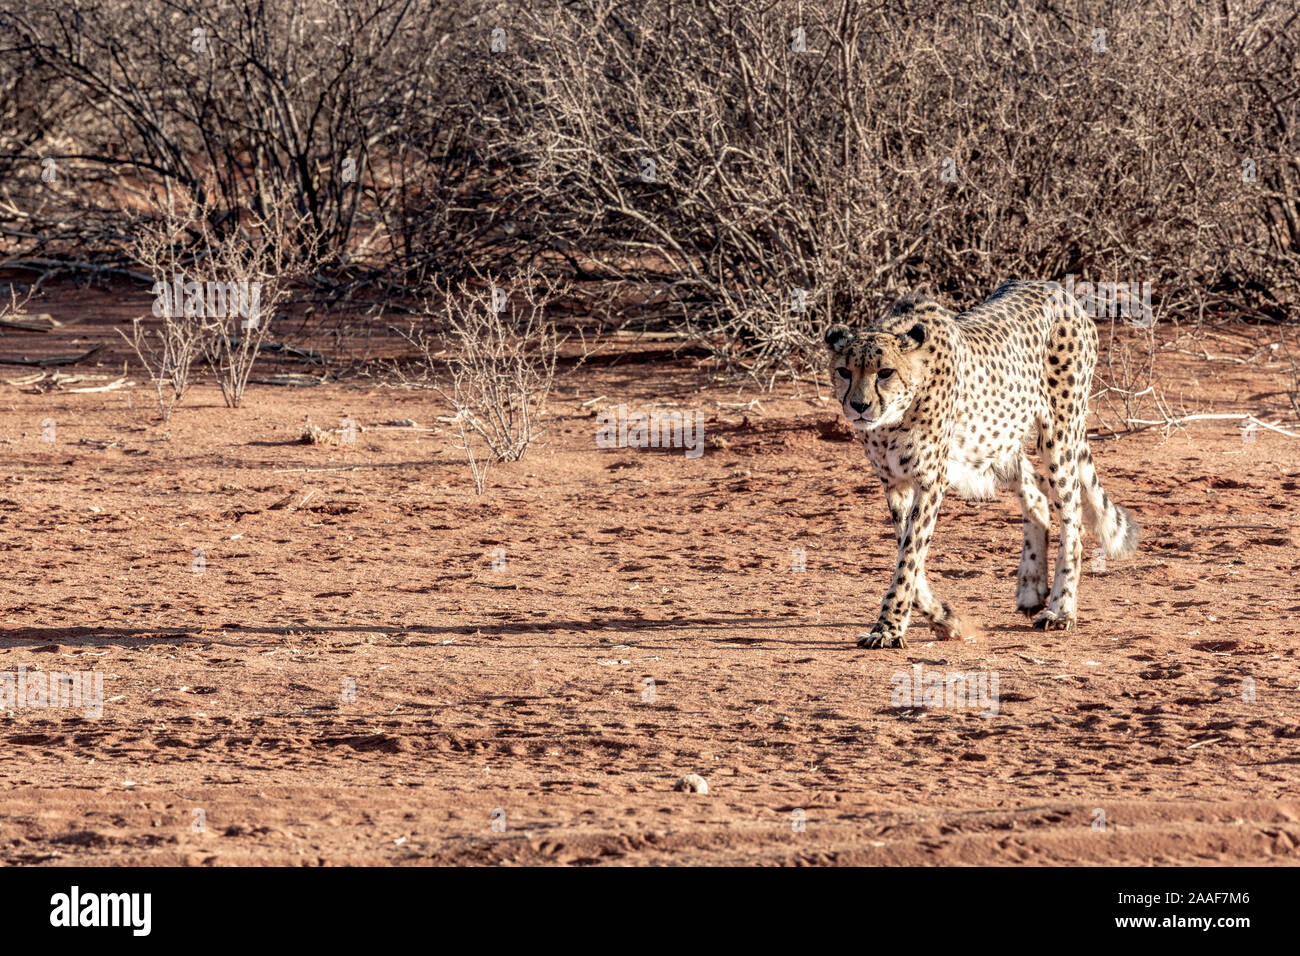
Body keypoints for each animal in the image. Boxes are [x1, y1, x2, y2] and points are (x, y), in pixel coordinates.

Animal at [824, 280, 1139, 649]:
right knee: (1035, 494)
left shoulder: (930, 481)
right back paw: (1031, 587)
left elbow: (910, 557)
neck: (893, 419)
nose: (859, 406)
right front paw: (945, 618)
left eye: (885, 372)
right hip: (996, 442)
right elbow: (908, 553)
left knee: (1073, 517)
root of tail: (1058, 290)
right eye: (844, 371)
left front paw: (888, 627)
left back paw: (1061, 609)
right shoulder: (895, 484)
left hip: (1058, 435)